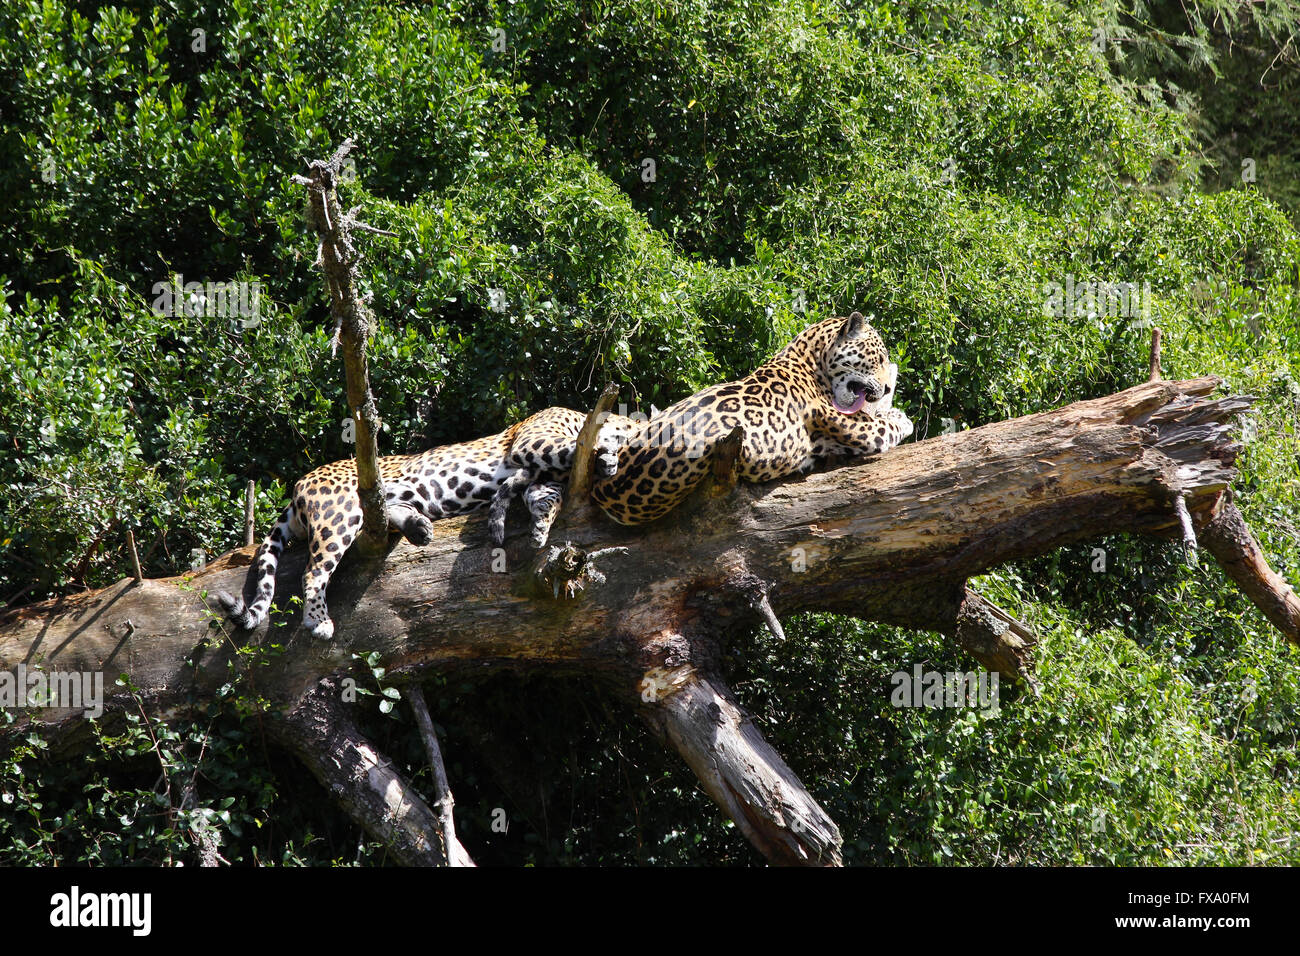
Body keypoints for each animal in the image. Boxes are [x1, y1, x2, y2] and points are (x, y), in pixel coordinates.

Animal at [218, 406, 630, 640]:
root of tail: (299, 484)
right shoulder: (533, 441)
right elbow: (573, 447)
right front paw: (606, 454)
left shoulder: (540, 476)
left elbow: (546, 496)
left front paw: (542, 526)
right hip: (340, 511)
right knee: (313, 571)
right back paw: (318, 621)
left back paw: (418, 526)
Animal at [590, 312, 913, 525]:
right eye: (879, 358)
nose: (887, 388)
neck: (809, 360)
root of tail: (603, 491)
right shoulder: (861, 431)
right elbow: (889, 425)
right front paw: (902, 416)